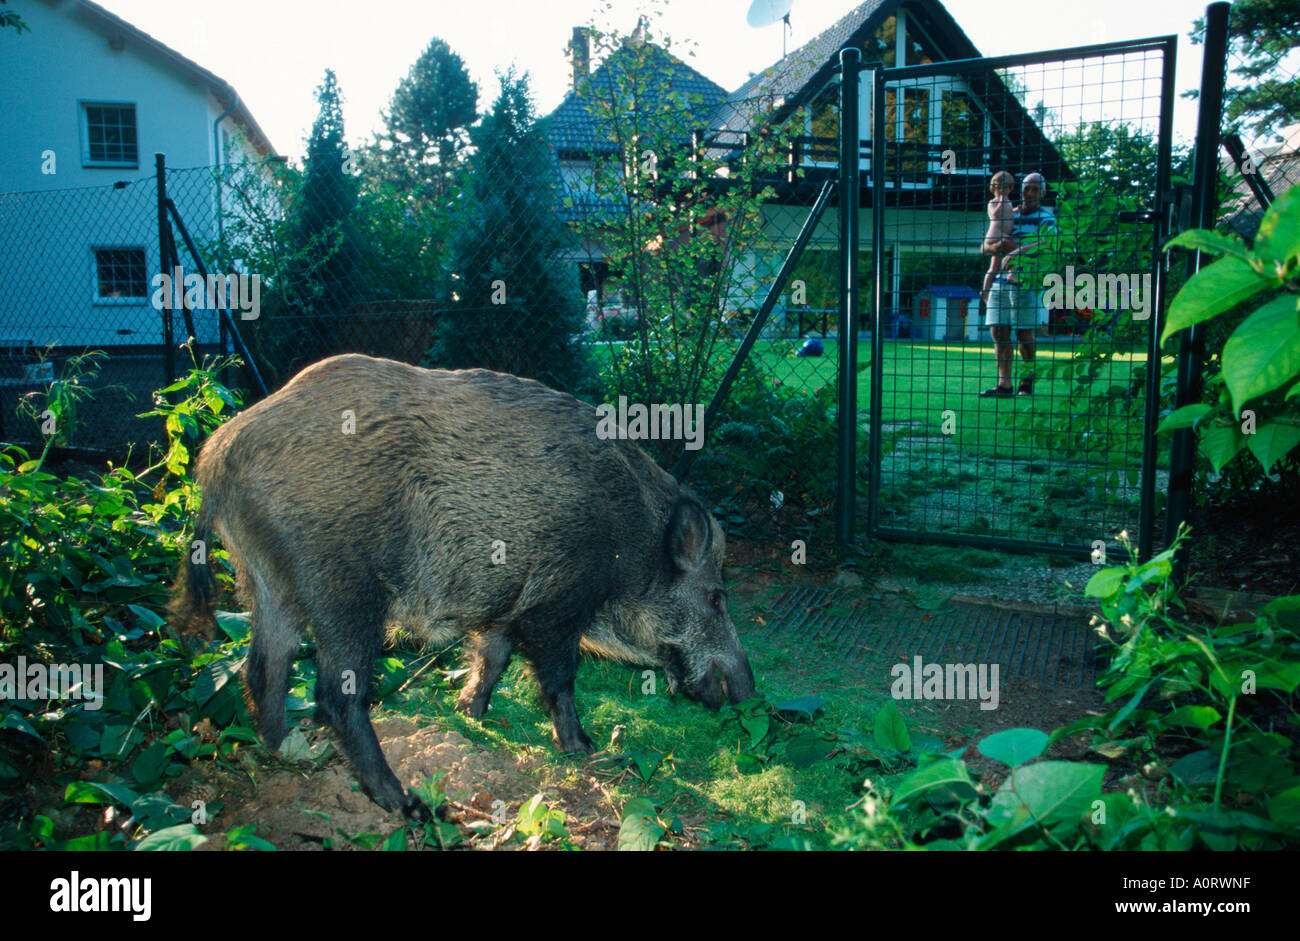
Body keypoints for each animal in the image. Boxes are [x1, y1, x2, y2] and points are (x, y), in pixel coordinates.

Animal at [169, 353, 757, 817]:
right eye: (716, 596)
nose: (750, 692)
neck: (632, 542)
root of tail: (220, 454)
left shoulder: (505, 605)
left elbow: (493, 657)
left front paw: (469, 713)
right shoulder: (555, 603)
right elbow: (558, 676)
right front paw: (582, 749)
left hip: (268, 580)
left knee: (263, 668)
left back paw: (286, 753)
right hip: (341, 587)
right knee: (333, 692)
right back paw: (404, 803)